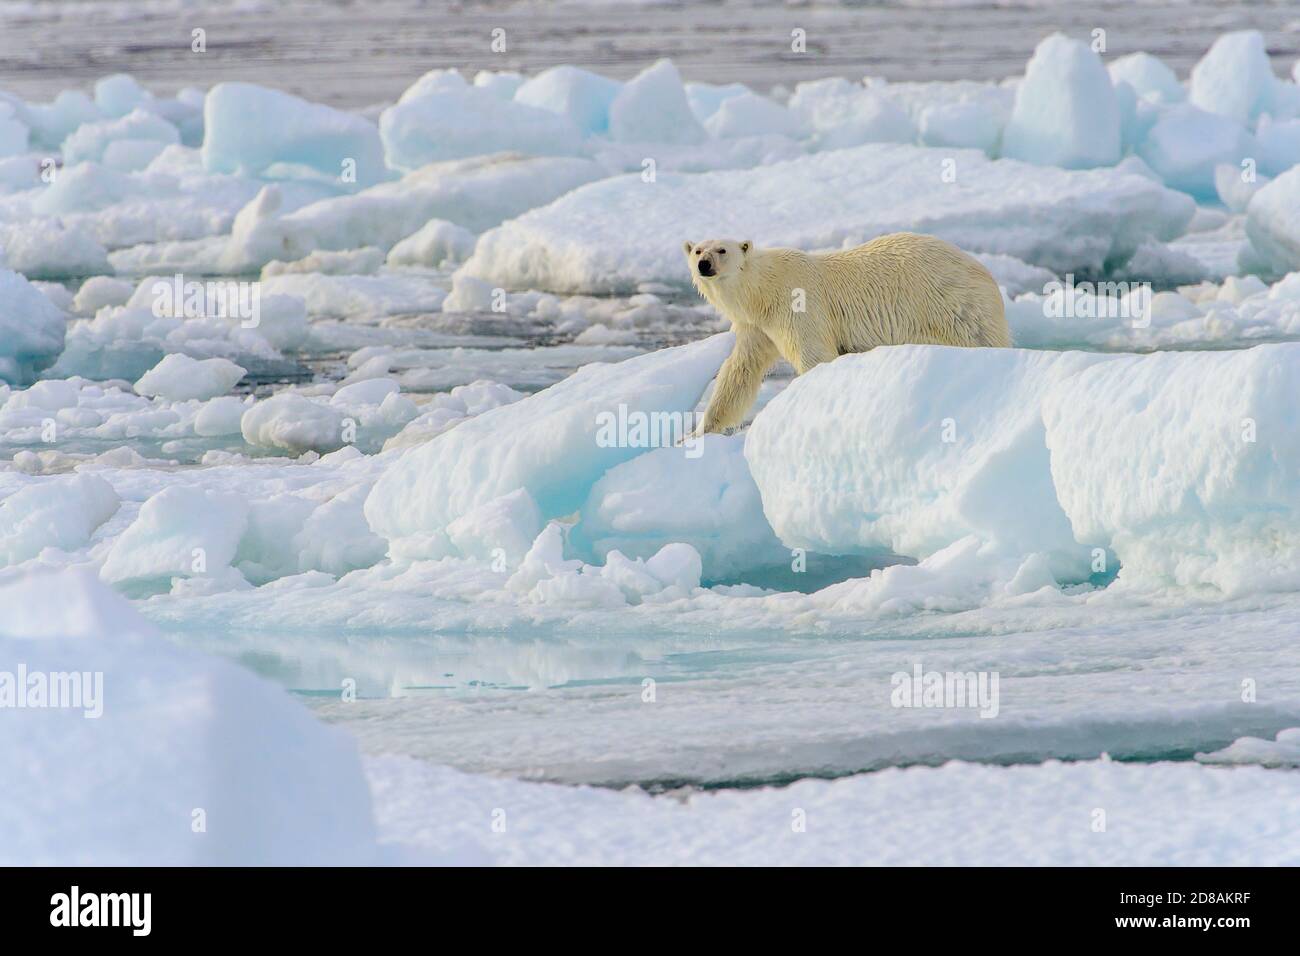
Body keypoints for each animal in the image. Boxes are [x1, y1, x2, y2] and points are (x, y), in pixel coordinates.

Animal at [683, 232, 1012, 434]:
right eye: (698, 249)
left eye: (722, 249)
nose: (704, 264)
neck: (763, 291)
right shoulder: (757, 327)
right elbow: (739, 373)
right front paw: (697, 433)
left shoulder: (797, 304)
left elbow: (815, 355)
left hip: (954, 306)